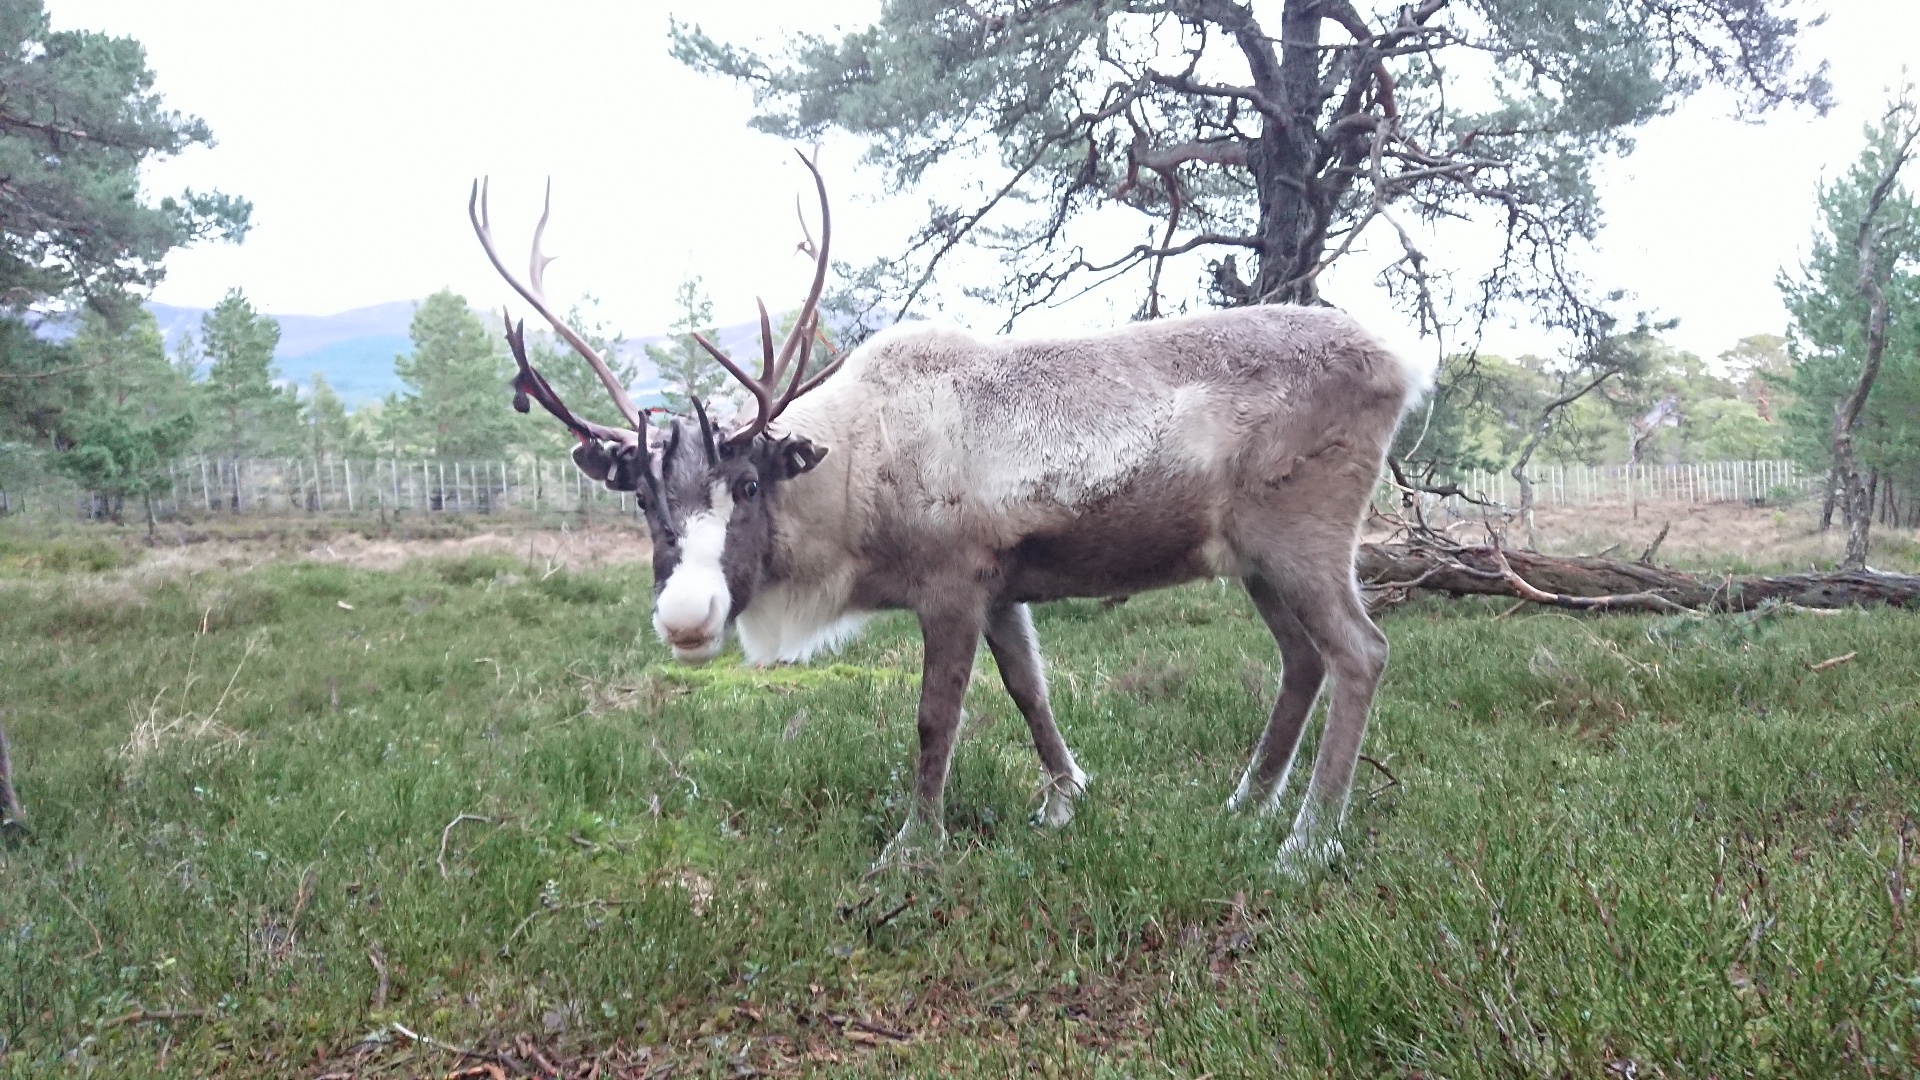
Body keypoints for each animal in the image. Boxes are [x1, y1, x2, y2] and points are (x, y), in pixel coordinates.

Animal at [469, 154, 1435, 871]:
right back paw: (1245, 802)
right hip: (1255, 558)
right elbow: (1030, 692)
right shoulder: (1004, 591)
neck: (854, 470)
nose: (685, 616)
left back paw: (1308, 843)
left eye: (746, 485)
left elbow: (938, 717)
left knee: (1360, 652)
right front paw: (1065, 798)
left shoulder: (952, 585)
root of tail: (1400, 363)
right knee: (1301, 661)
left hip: (1304, 538)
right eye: (641, 495)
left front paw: (913, 843)